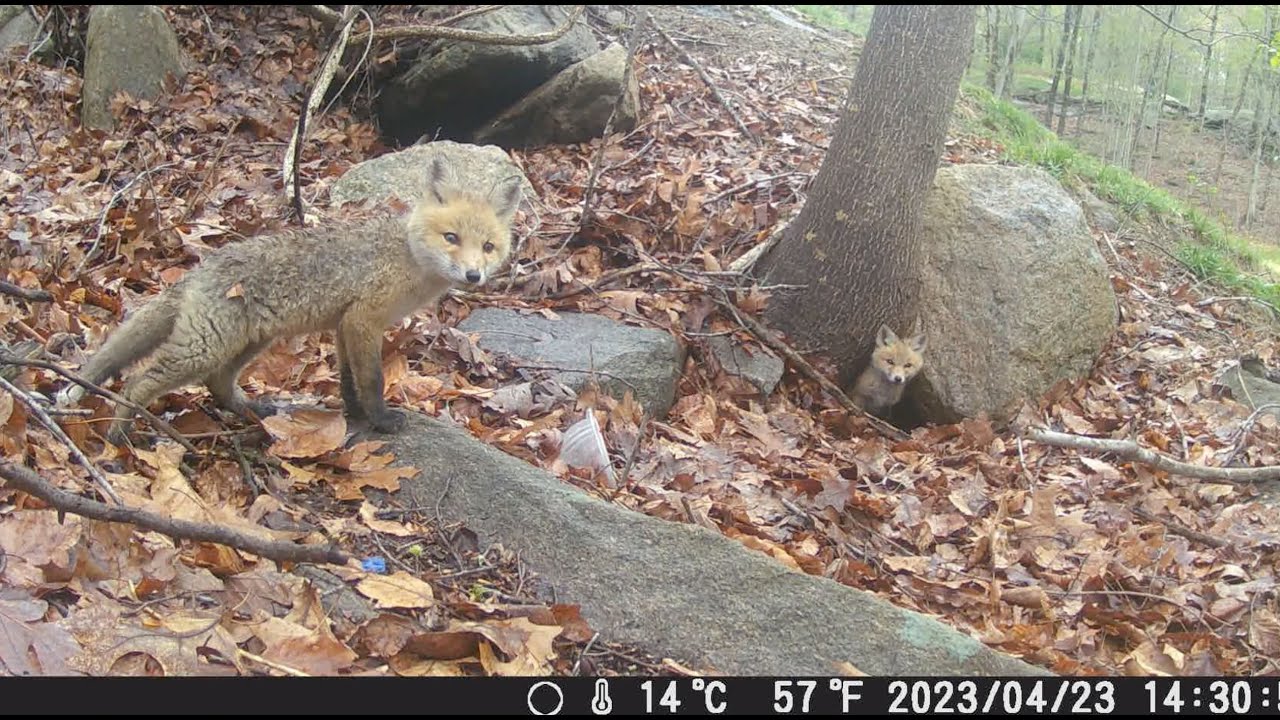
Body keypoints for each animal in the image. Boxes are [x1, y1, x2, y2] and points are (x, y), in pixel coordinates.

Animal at [58, 157, 522, 445]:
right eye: (451, 238)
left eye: (488, 247)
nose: (474, 275)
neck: (405, 258)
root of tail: (200, 270)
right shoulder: (362, 320)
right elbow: (371, 380)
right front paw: (381, 420)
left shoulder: (343, 324)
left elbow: (348, 382)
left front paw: (355, 417)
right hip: (204, 348)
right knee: (139, 381)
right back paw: (119, 435)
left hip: (247, 343)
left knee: (217, 383)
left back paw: (252, 411)